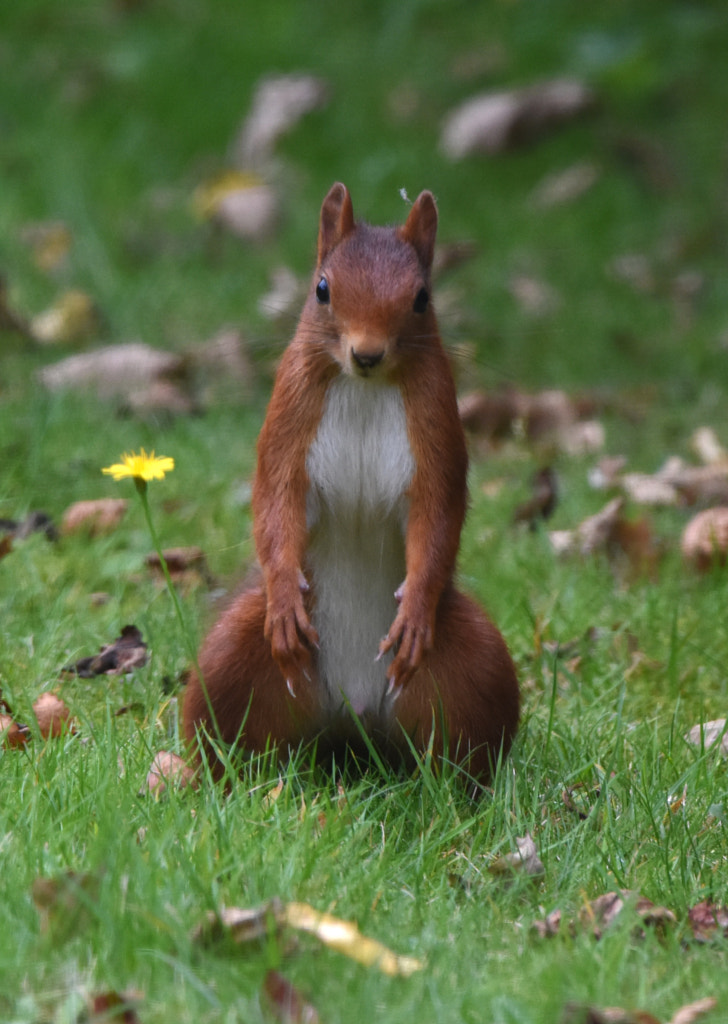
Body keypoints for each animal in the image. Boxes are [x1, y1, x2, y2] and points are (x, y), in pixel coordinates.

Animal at [183, 183, 519, 781]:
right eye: (322, 288)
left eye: (422, 298)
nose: (367, 353)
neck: (364, 387)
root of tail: (352, 714)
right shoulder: (289, 420)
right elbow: (276, 502)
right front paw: (284, 595)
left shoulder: (436, 432)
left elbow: (437, 516)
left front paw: (414, 611)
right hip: (235, 659)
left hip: (474, 669)